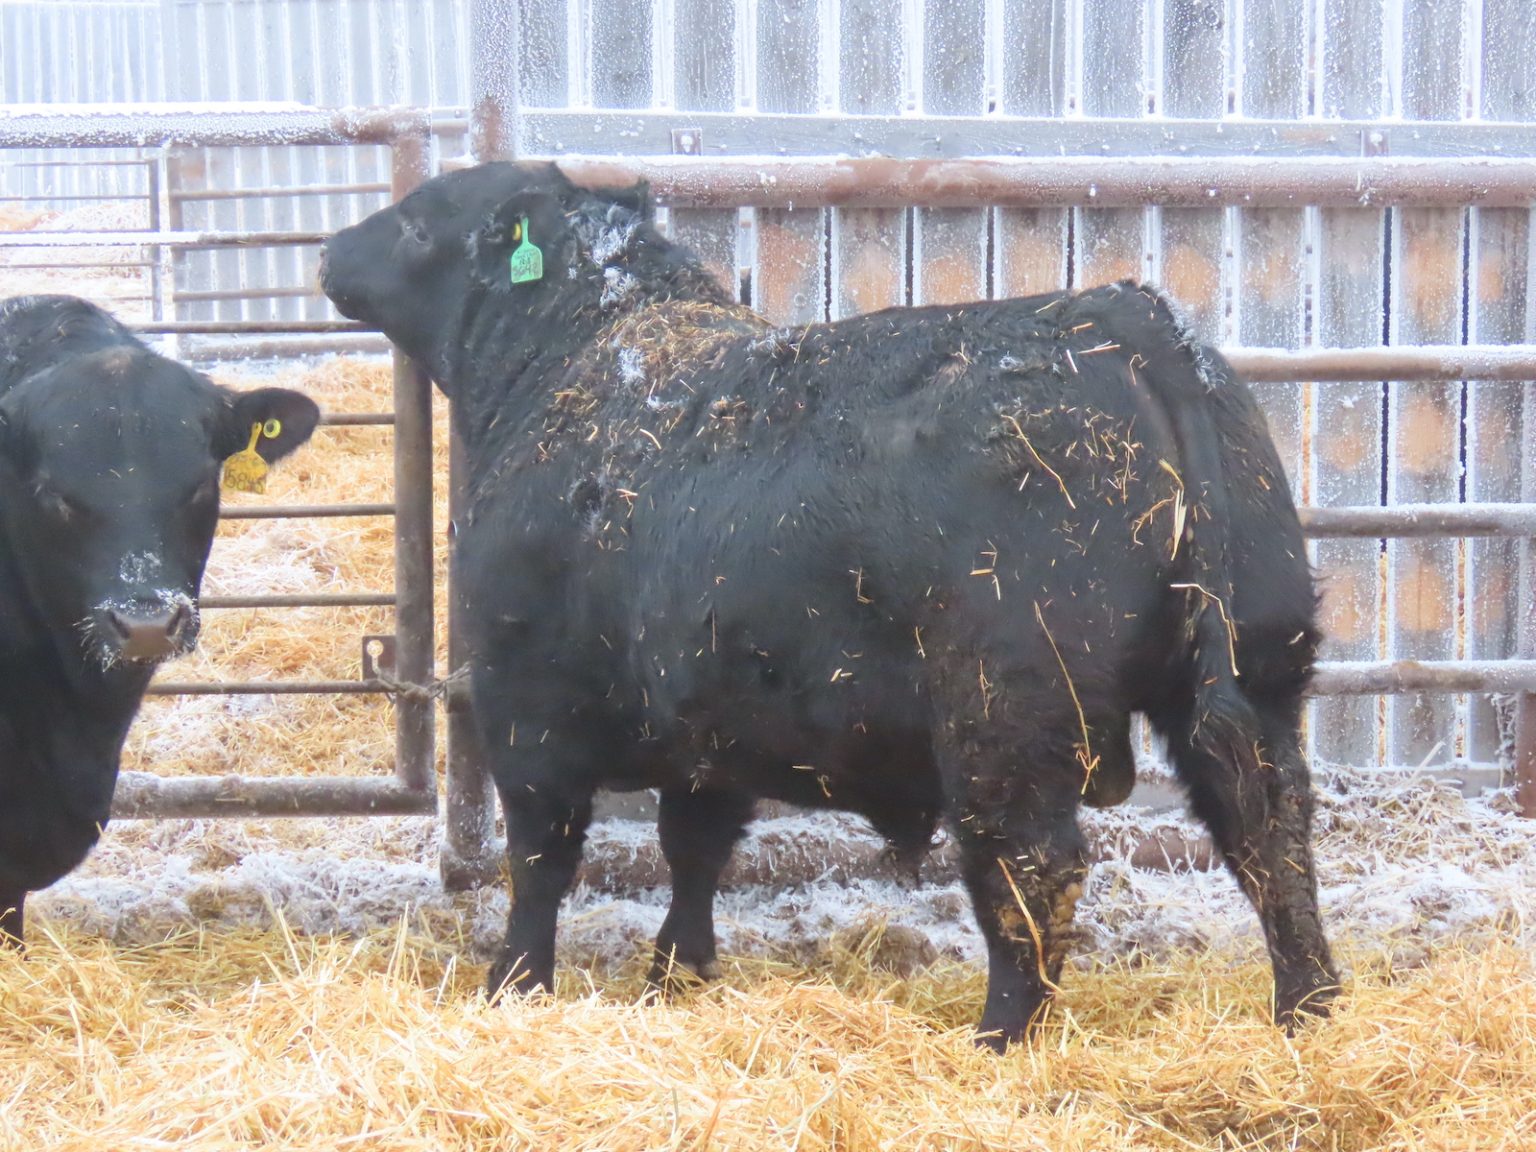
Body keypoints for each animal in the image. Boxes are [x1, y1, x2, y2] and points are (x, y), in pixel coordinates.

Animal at [320, 161, 1338, 1049]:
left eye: (416, 223)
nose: (330, 249)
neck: (573, 368)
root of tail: (1120, 310)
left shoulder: (525, 707)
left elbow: (541, 862)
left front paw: (514, 983)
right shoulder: (709, 723)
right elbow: (693, 852)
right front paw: (677, 975)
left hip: (1006, 716)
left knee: (1032, 868)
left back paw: (1000, 1040)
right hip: (1261, 668)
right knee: (1270, 828)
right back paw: (1309, 1009)